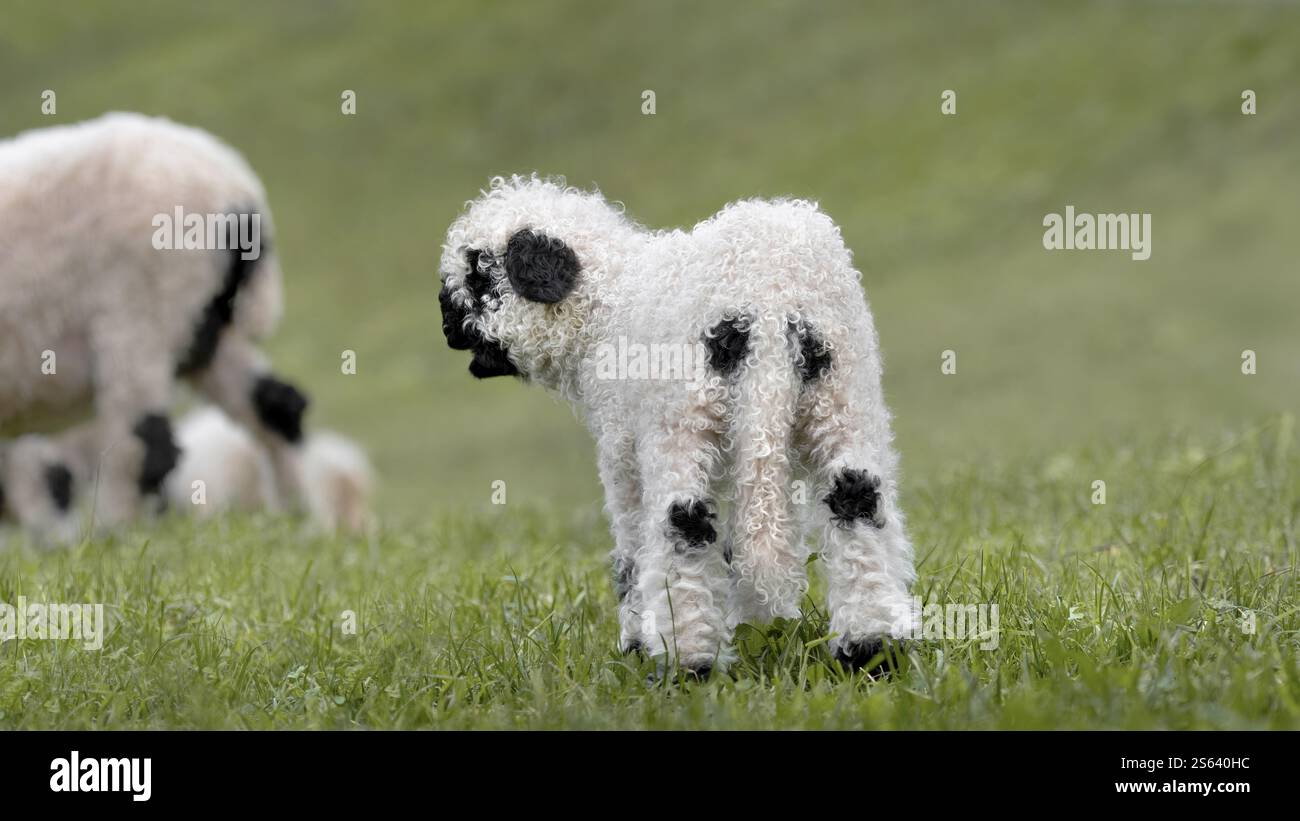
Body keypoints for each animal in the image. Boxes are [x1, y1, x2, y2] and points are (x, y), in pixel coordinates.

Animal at [0, 113, 311, 538]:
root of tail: (239, 198)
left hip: (141, 309)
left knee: (144, 446)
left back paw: (113, 537)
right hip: (202, 324)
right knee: (276, 406)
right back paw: (299, 520)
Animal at [437, 175, 918, 676]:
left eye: (479, 274)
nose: (446, 323)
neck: (606, 305)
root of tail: (769, 305)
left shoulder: (623, 454)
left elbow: (632, 555)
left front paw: (634, 644)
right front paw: (758, 626)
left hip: (682, 426)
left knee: (683, 526)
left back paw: (689, 666)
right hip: (844, 405)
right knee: (857, 504)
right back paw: (872, 652)